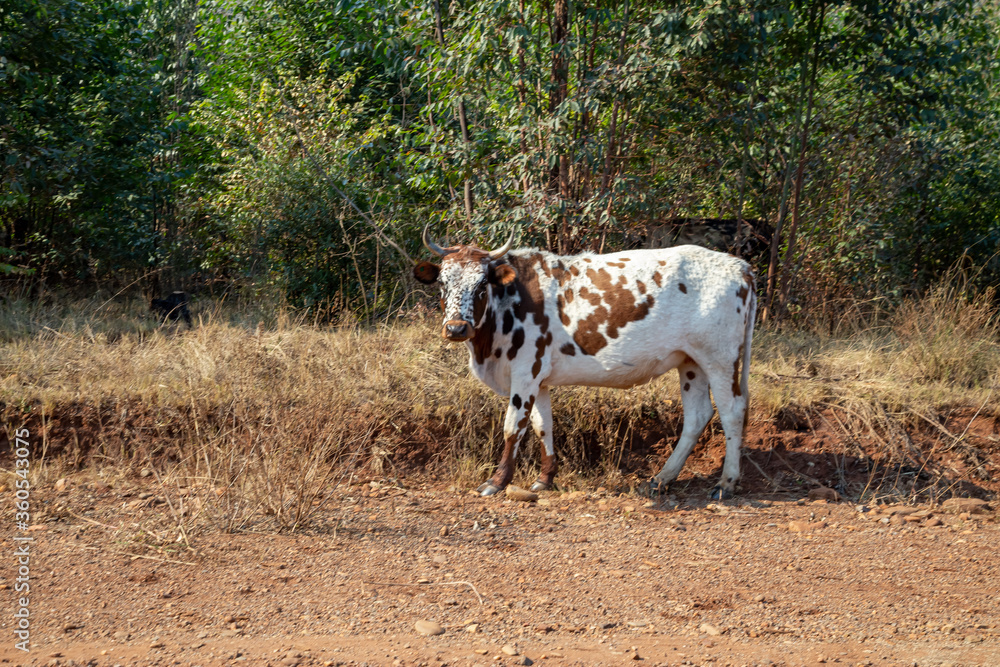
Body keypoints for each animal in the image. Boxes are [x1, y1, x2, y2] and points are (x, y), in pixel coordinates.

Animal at [413, 226, 756, 500]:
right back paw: (661, 479)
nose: (456, 328)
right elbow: (542, 426)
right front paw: (544, 479)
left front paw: (496, 481)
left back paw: (726, 482)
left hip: (721, 358)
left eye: (481, 285)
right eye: (443, 284)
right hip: (691, 362)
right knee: (698, 416)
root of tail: (738, 265)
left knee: (732, 411)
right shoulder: (539, 379)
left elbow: (513, 427)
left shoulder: (524, 373)